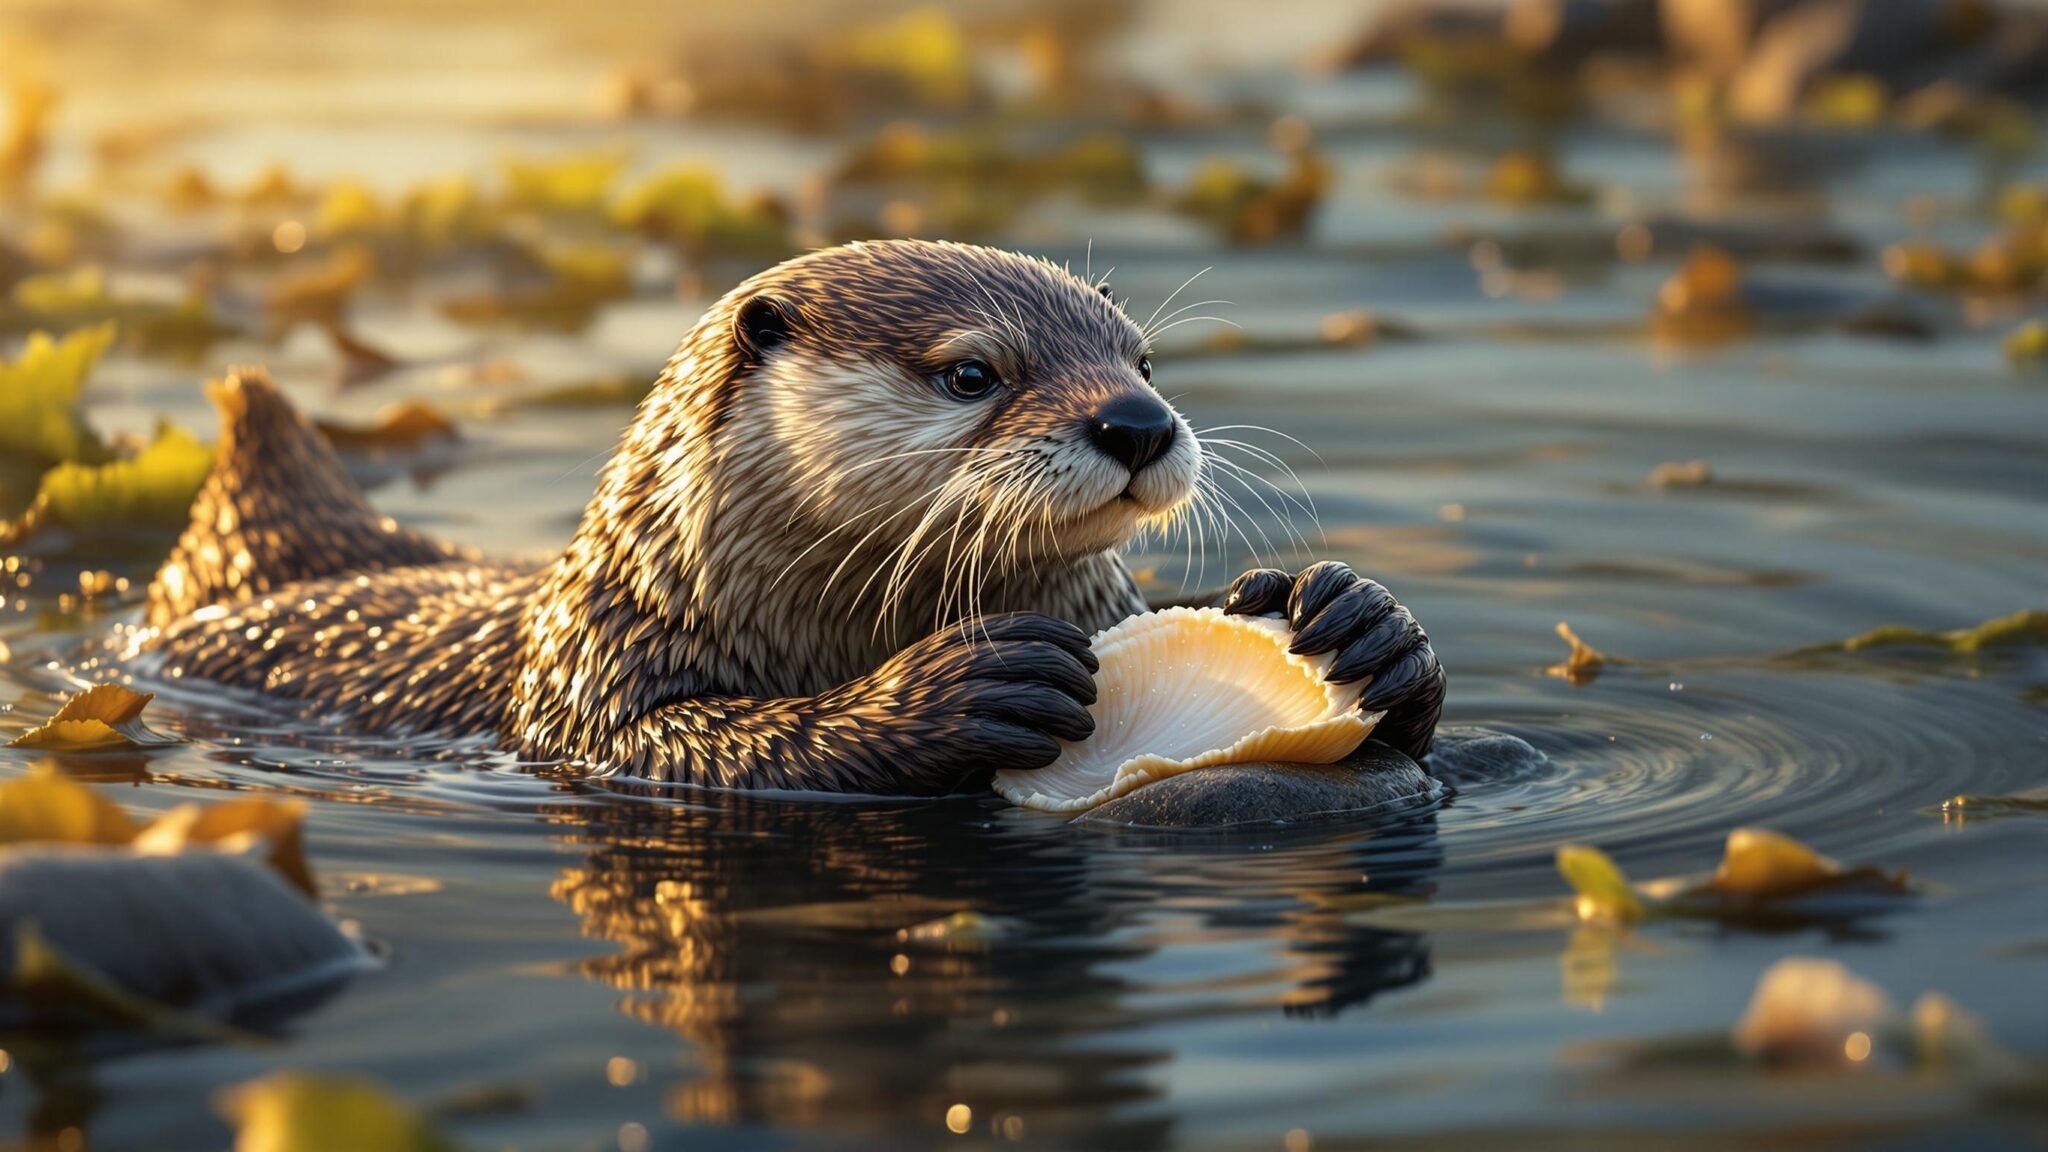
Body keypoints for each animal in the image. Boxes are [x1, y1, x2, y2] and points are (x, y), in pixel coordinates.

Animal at [133, 240, 1444, 798]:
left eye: (1141, 360)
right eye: (973, 372)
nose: (1135, 423)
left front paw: (1355, 622)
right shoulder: (589, 693)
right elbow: (680, 742)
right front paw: (954, 687)